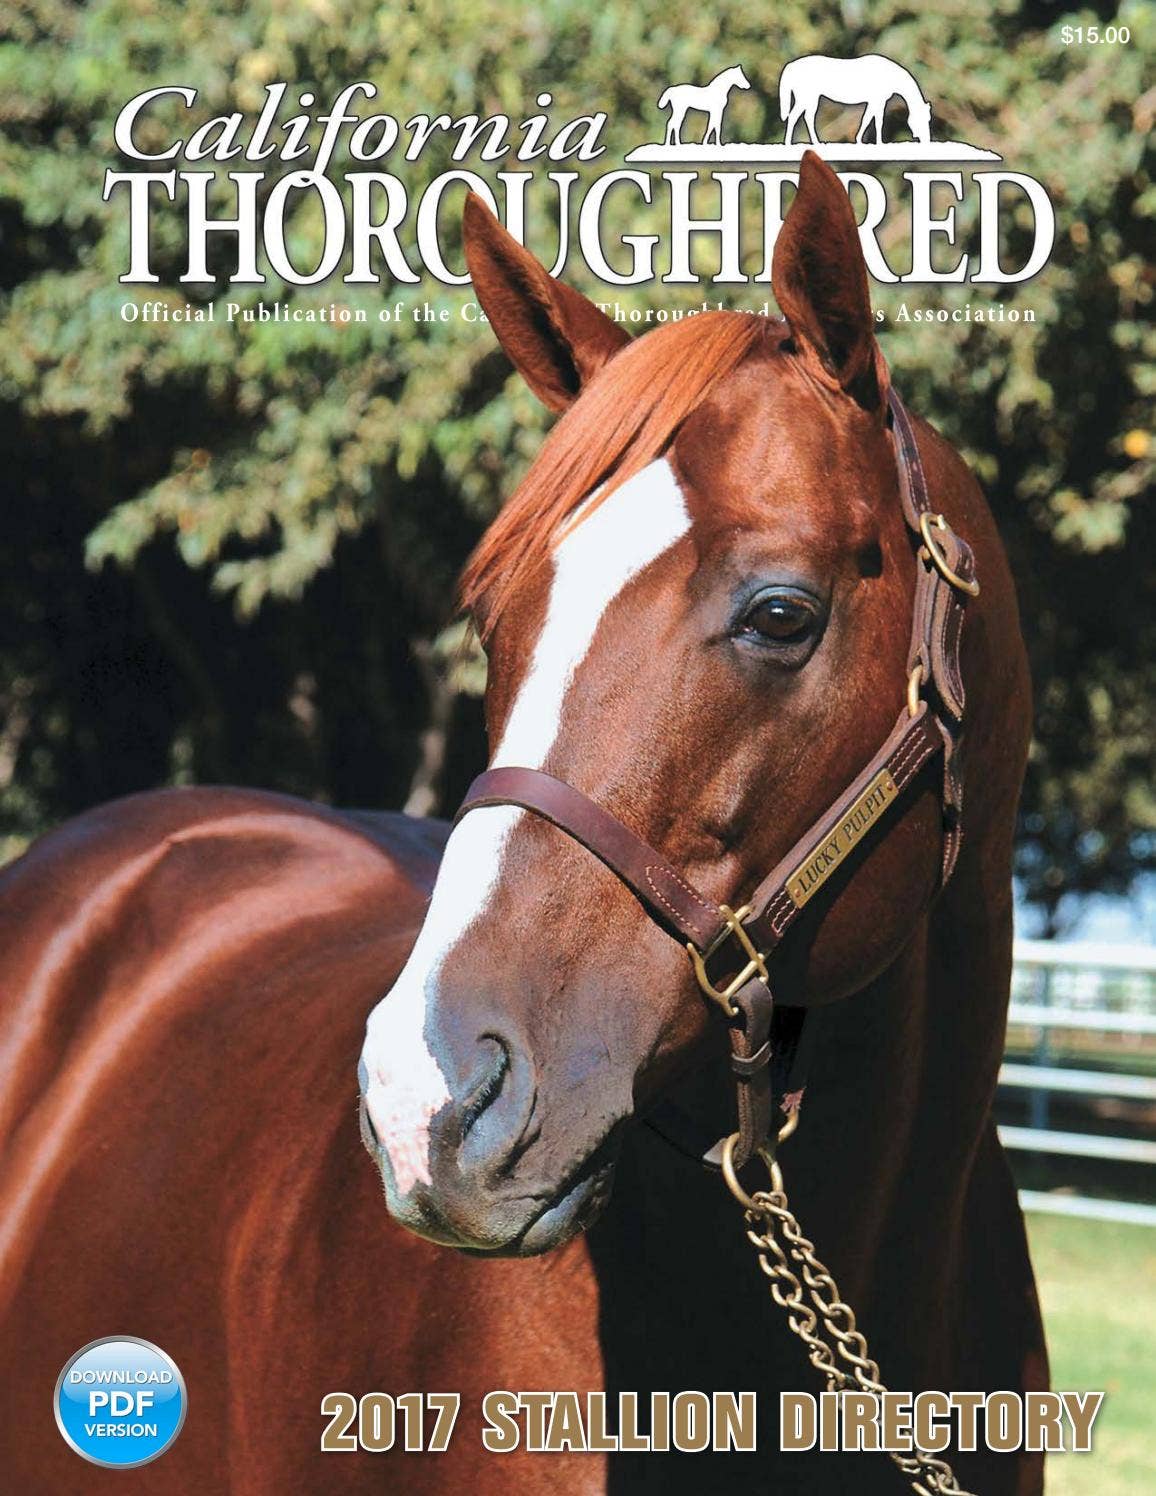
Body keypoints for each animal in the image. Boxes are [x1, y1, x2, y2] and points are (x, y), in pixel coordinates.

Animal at [780, 54, 933, 146]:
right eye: (920, 120)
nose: (926, 140)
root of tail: (791, 65)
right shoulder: (878, 102)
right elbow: (877, 121)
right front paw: (878, 142)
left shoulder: (874, 102)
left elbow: (867, 119)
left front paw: (860, 140)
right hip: (806, 98)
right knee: (795, 116)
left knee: (807, 117)